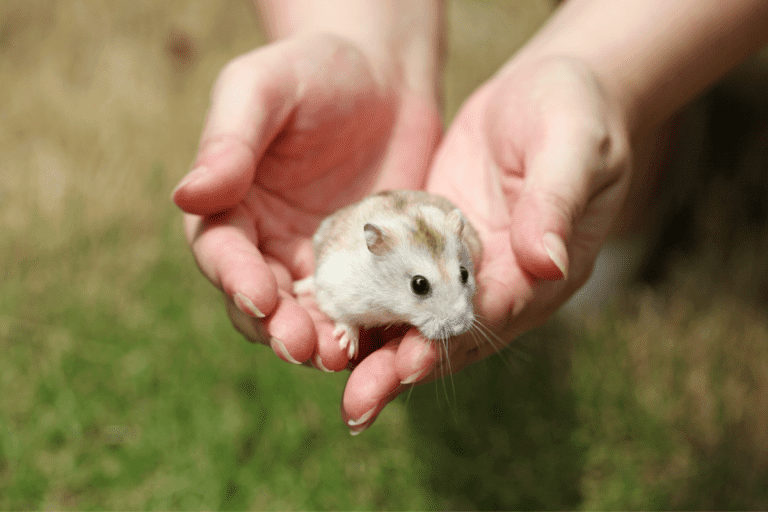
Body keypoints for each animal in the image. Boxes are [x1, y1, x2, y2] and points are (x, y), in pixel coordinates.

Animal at [295, 190, 483, 360]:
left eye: (464, 274)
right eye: (419, 284)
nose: (459, 328)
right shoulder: (334, 291)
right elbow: (344, 318)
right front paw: (348, 347)